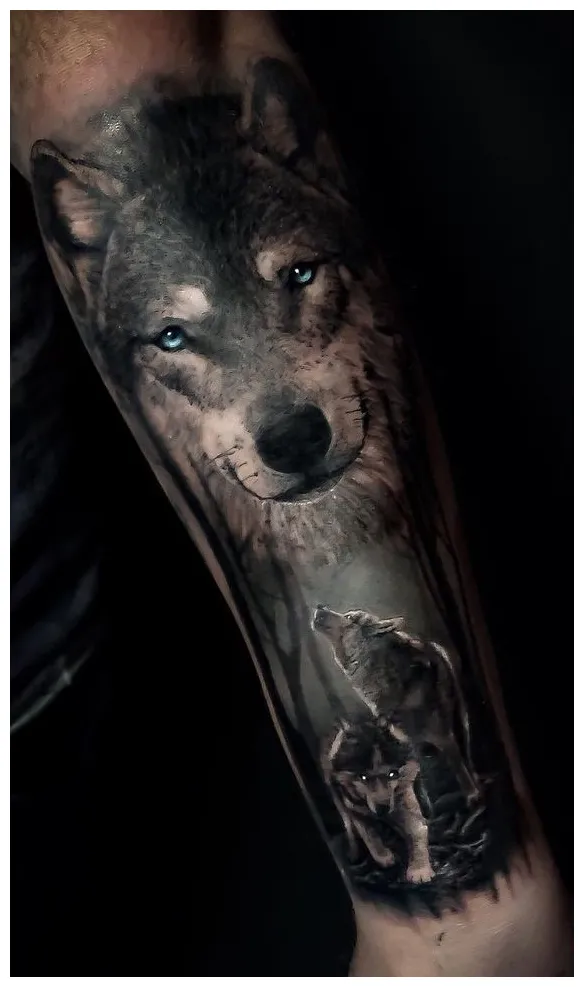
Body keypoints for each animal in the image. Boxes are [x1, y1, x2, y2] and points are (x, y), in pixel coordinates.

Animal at [313, 605, 480, 800]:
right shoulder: (410, 743)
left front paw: (472, 794)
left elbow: (456, 764)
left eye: (348, 617)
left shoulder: (443, 736)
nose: (320, 606)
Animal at [322, 717, 434, 884]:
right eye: (363, 777)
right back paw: (354, 851)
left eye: (393, 774)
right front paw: (384, 857)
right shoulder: (355, 809)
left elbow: (416, 830)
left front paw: (419, 869)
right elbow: (369, 835)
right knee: (348, 825)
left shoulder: (404, 798)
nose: (382, 809)